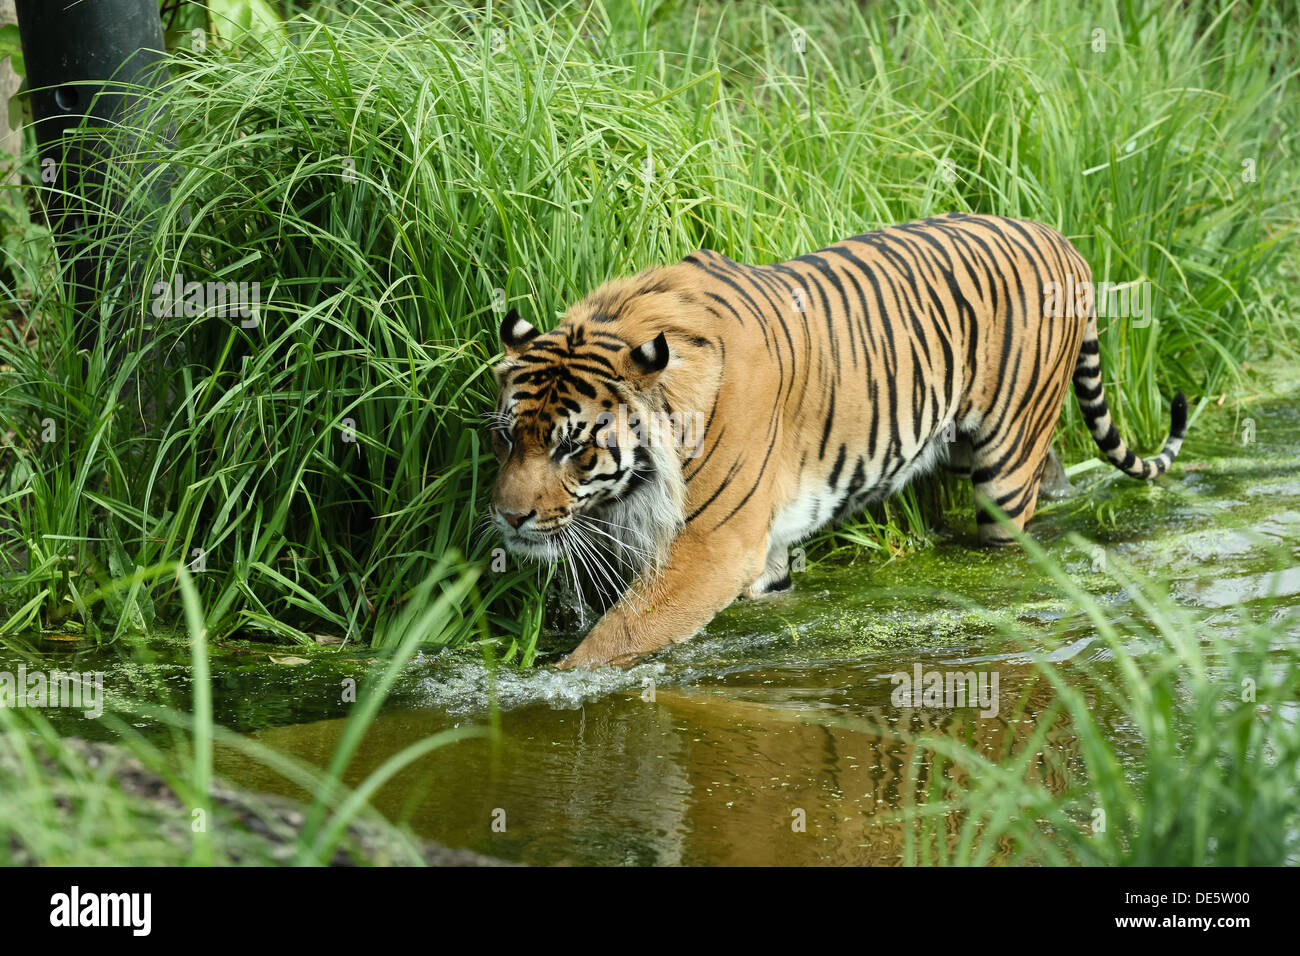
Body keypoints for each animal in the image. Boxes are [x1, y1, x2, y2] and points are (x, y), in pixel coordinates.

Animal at [487, 212, 1187, 669]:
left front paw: (551, 685)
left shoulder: (713, 549)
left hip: (1004, 468)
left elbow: (619, 635)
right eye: (507, 442)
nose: (508, 518)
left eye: (574, 449)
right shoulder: (761, 554)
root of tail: (1062, 241)